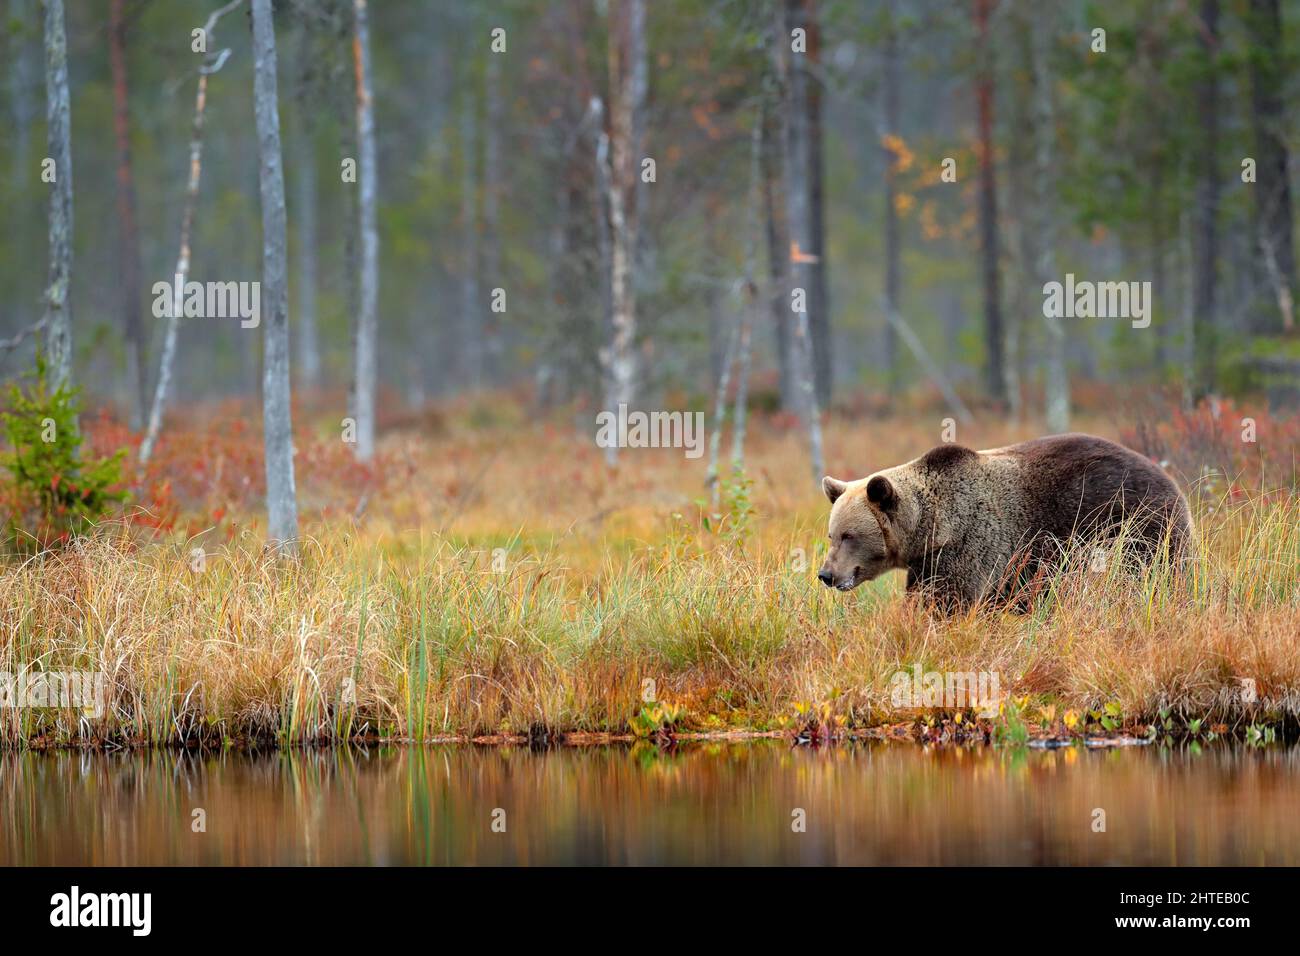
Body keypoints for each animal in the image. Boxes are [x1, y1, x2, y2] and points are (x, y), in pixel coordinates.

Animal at [817, 433, 1193, 611]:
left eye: (850, 535)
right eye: (832, 535)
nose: (826, 574)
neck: (933, 527)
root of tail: (1171, 481)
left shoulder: (971, 546)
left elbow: (946, 601)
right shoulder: (928, 562)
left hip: (1134, 524)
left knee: (1154, 572)